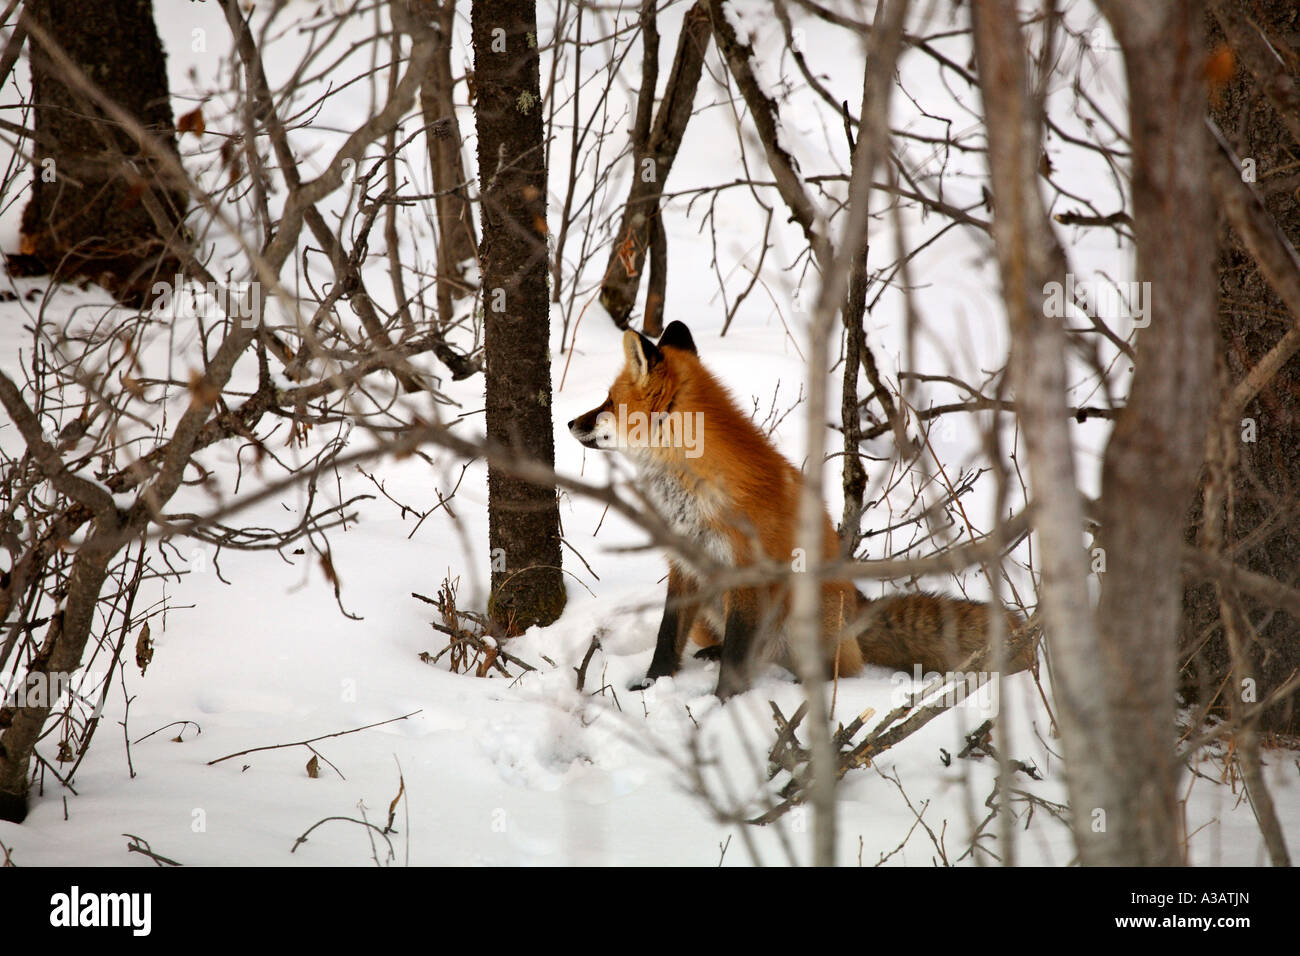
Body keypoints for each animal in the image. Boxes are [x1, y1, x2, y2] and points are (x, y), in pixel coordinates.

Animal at [568, 321, 1035, 700]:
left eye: (607, 403)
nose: (570, 422)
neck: (694, 487)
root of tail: (857, 602)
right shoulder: (683, 564)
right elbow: (667, 637)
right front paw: (652, 685)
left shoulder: (748, 573)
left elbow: (737, 656)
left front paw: (722, 704)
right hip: (711, 611)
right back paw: (714, 652)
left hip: (802, 616)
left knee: (841, 669)